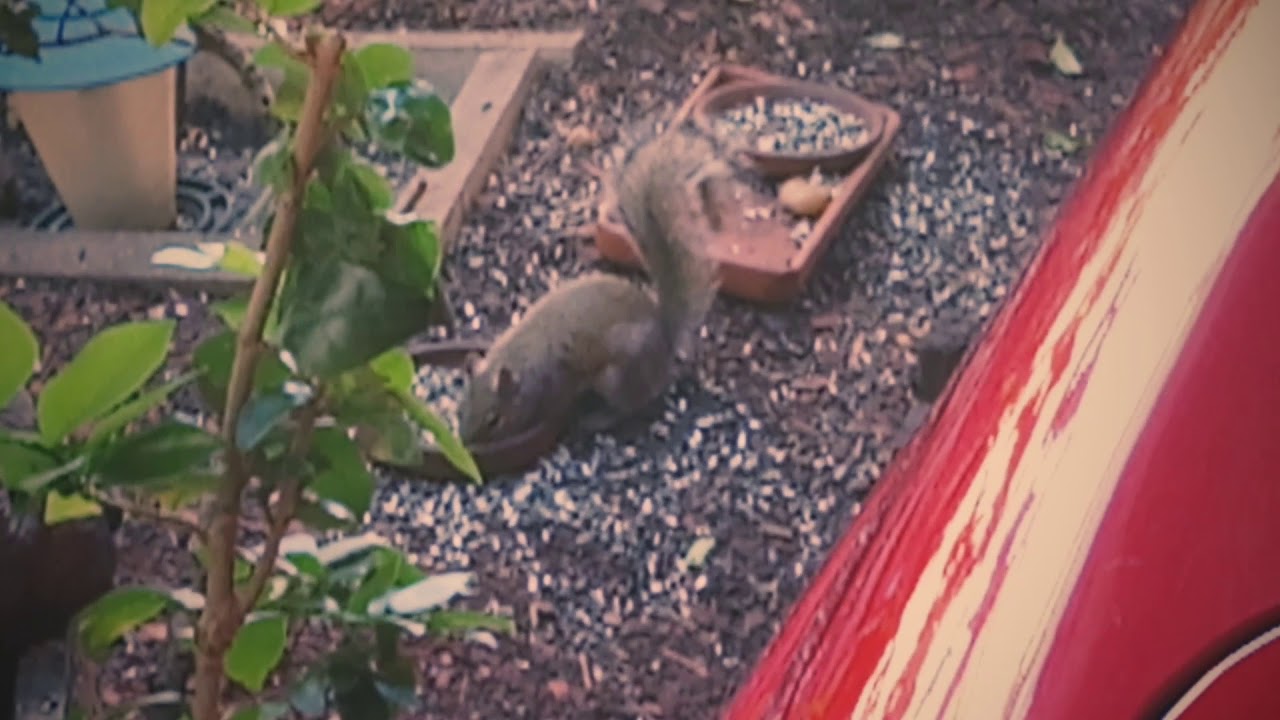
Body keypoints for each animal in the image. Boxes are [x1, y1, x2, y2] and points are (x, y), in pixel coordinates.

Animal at [455, 127, 731, 445]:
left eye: (494, 420)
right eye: (462, 405)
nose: (464, 441)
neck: (519, 357)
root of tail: (665, 336)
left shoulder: (555, 384)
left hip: (618, 376)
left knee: (630, 405)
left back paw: (597, 419)